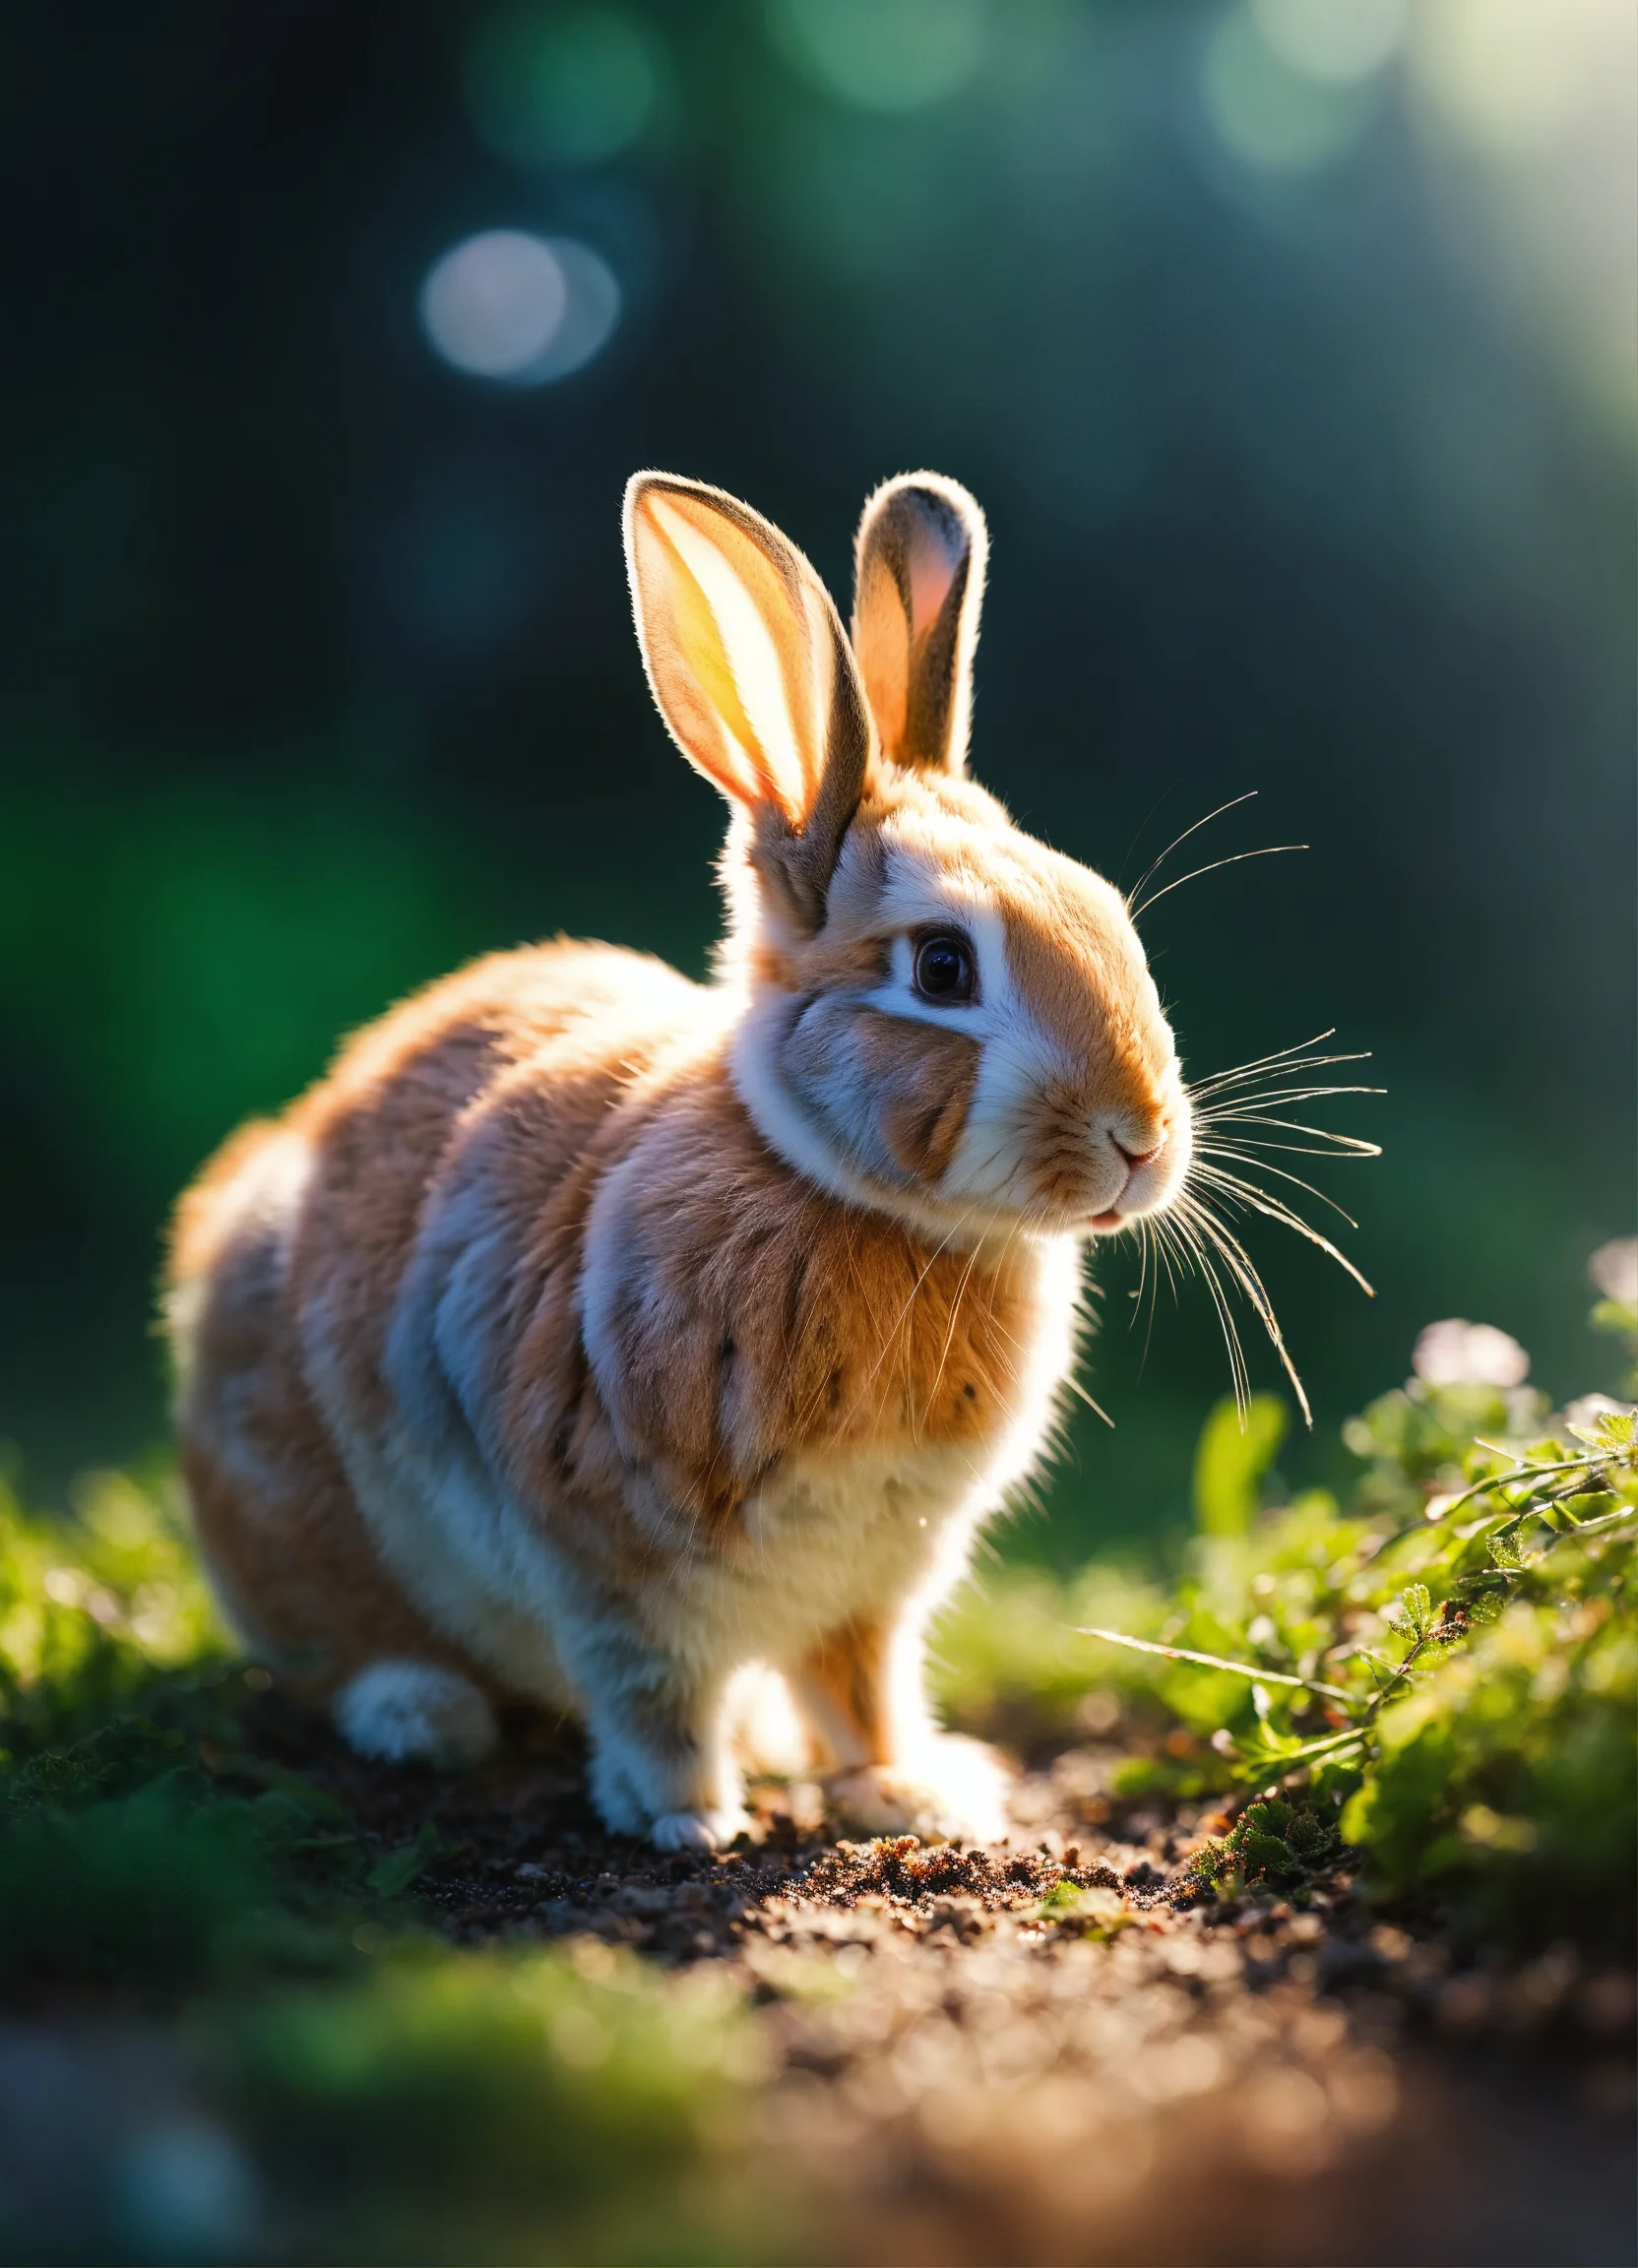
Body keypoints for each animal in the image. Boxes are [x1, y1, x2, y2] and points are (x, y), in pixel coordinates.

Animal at [166, 469, 1192, 1852]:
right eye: (940, 968)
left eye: (1105, 913)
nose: (1140, 1140)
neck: (846, 1198)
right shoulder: (606, 1544)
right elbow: (650, 1690)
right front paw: (687, 1820)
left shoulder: (873, 1584)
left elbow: (862, 1686)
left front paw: (910, 1792)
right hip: (299, 1501)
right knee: (333, 1649)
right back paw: (422, 1714)